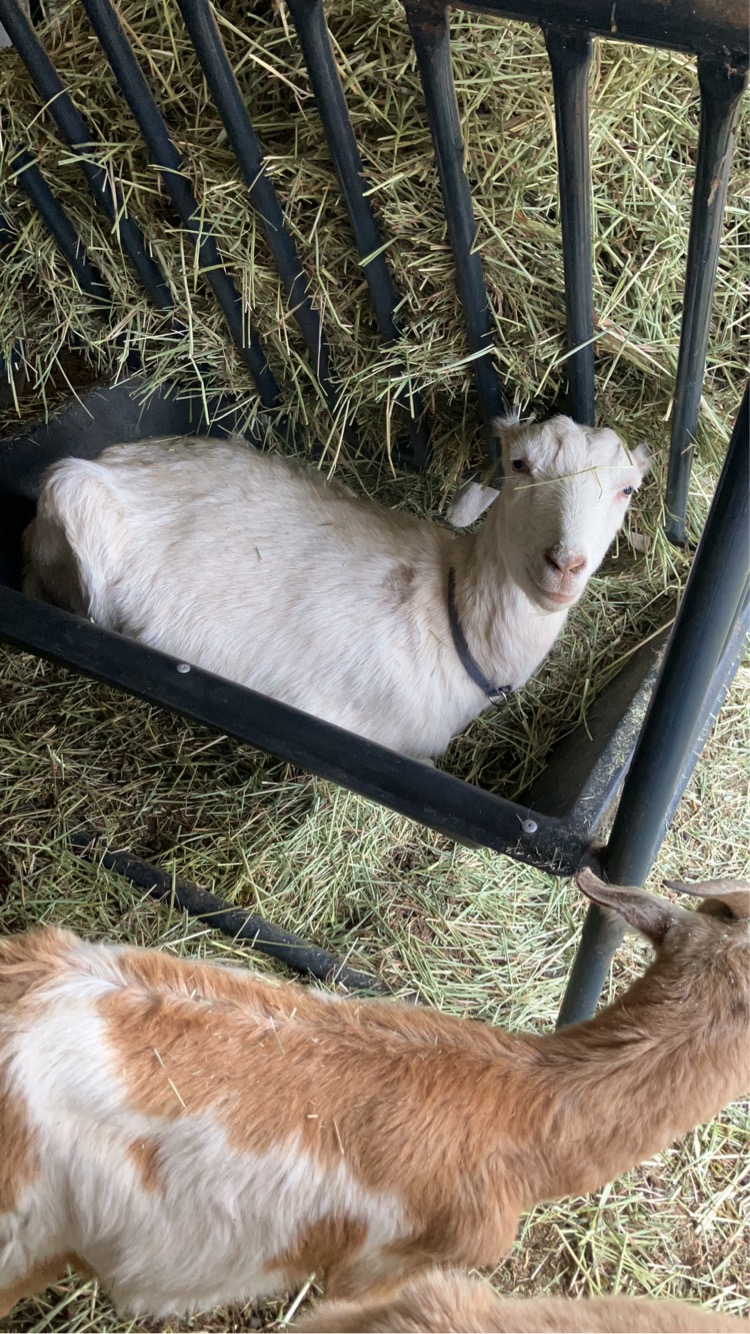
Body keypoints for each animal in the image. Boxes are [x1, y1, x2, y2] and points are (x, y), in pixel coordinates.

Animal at [23, 417, 649, 760]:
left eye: (627, 489)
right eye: (519, 464)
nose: (564, 564)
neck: (448, 615)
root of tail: (107, 458)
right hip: (74, 505)